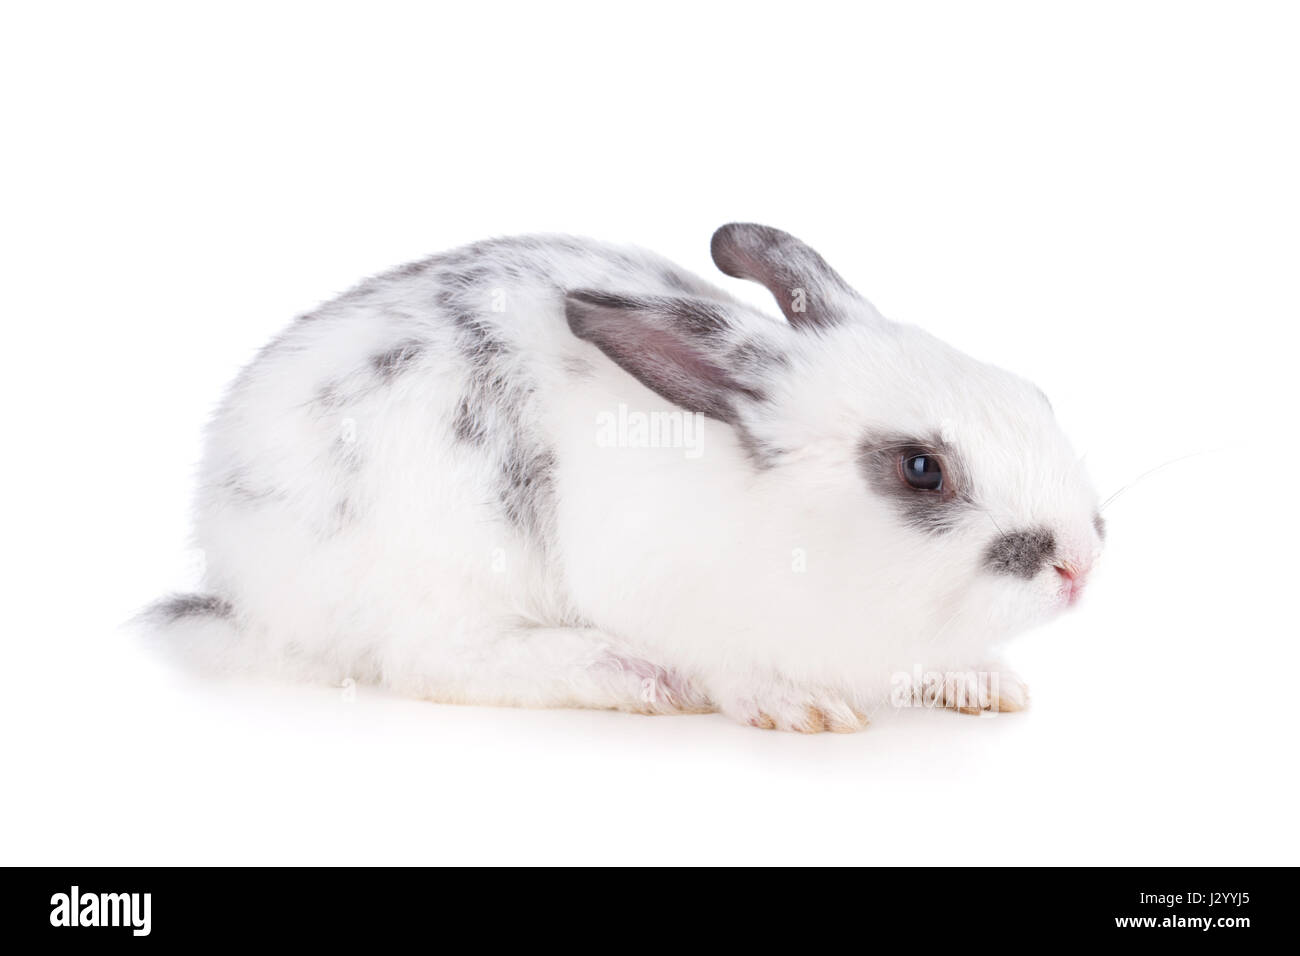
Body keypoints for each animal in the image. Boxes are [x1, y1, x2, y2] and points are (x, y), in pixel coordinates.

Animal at [143, 223, 1104, 732]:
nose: (1079, 567)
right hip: (442, 558)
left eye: (1032, 394)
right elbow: (734, 670)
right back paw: (629, 676)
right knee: (435, 661)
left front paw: (989, 685)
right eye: (921, 469)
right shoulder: (668, 597)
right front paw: (801, 707)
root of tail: (236, 577)